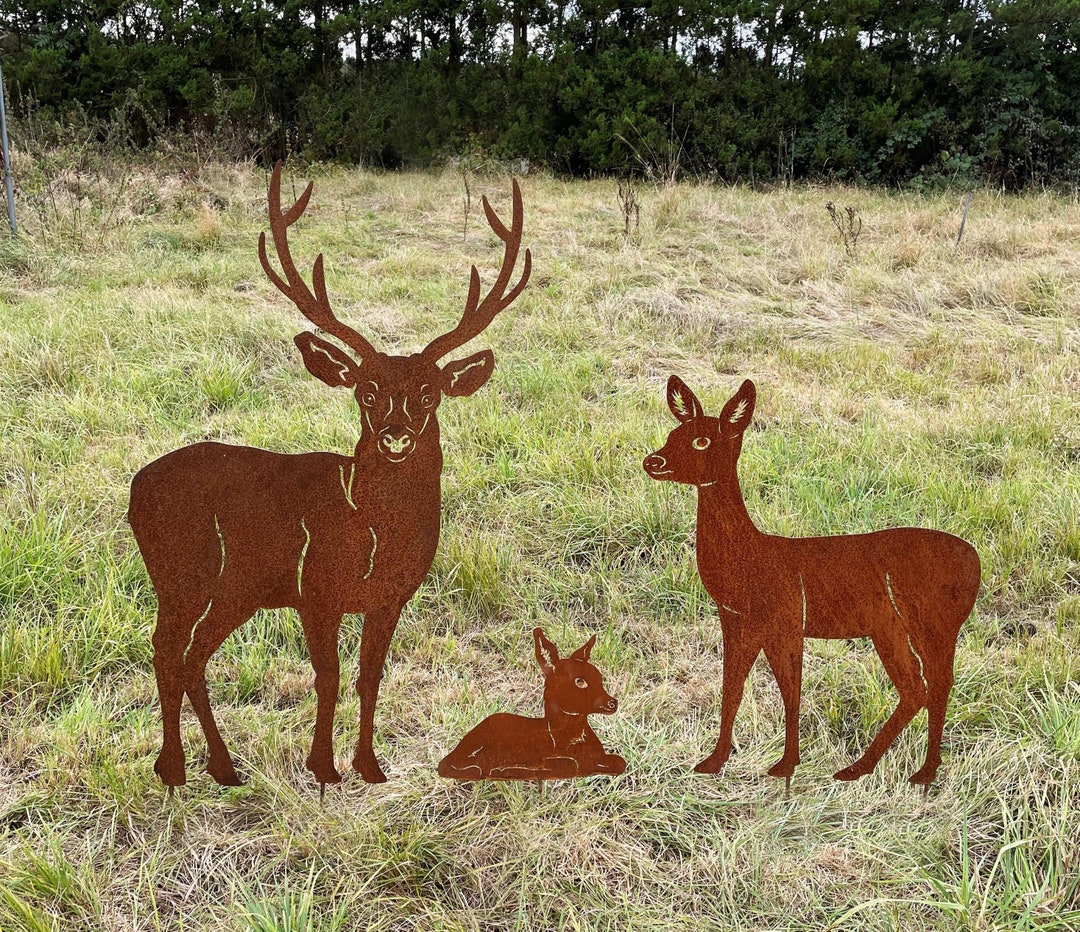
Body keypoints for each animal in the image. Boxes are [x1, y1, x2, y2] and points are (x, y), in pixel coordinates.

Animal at [128, 162, 530, 793]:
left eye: (429, 392)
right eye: (366, 391)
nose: (395, 438)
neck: (372, 530)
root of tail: (134, 488)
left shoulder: (389, 597)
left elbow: (370, 677)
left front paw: (370, 767)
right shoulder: (315, 589)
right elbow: (330, 676)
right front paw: (323, 767)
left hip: (234, 589)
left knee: (191, 656)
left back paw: (221, 767)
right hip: (184, 572)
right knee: (167, 650)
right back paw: (174, 768)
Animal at [643, 376, 980, 792]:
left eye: (702, 441)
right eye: (673, 433)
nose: (652, 462)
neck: (751, 560)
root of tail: (976, 562)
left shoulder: (785, 620)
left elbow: (791, 691)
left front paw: (785, 765)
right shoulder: (735, 621)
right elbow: (732, 688)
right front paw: (714, 761)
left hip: (932, 622)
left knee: (939, 682)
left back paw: (924, 772)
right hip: (890, 628)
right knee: (916, 687)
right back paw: (859, 768)